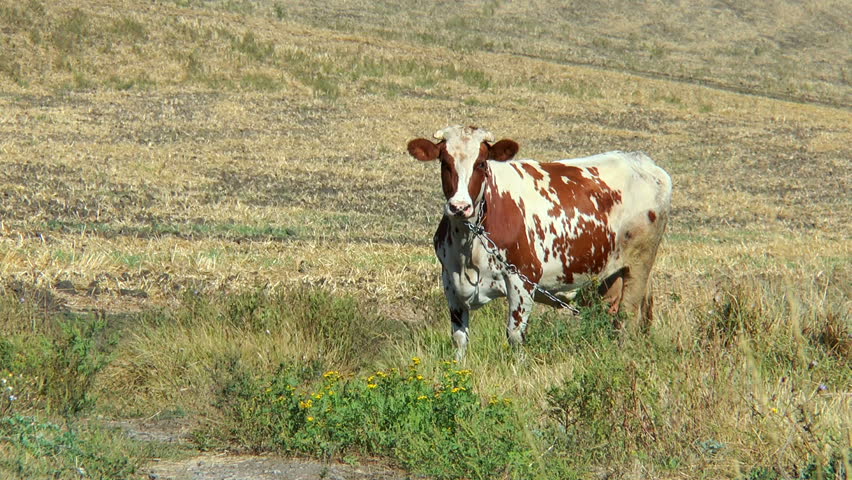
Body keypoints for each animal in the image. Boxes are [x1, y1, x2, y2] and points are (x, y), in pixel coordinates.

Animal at [407, 125, 672, 361]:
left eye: (481, 163)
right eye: (444, 162)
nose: (459, 207)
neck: (468, 247)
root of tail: (642, 161)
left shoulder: (522, 279)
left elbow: (515, 335)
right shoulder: (450, 281)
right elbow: (459, 338)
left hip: (638, 265)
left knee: (627, 318)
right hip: (606, 276)